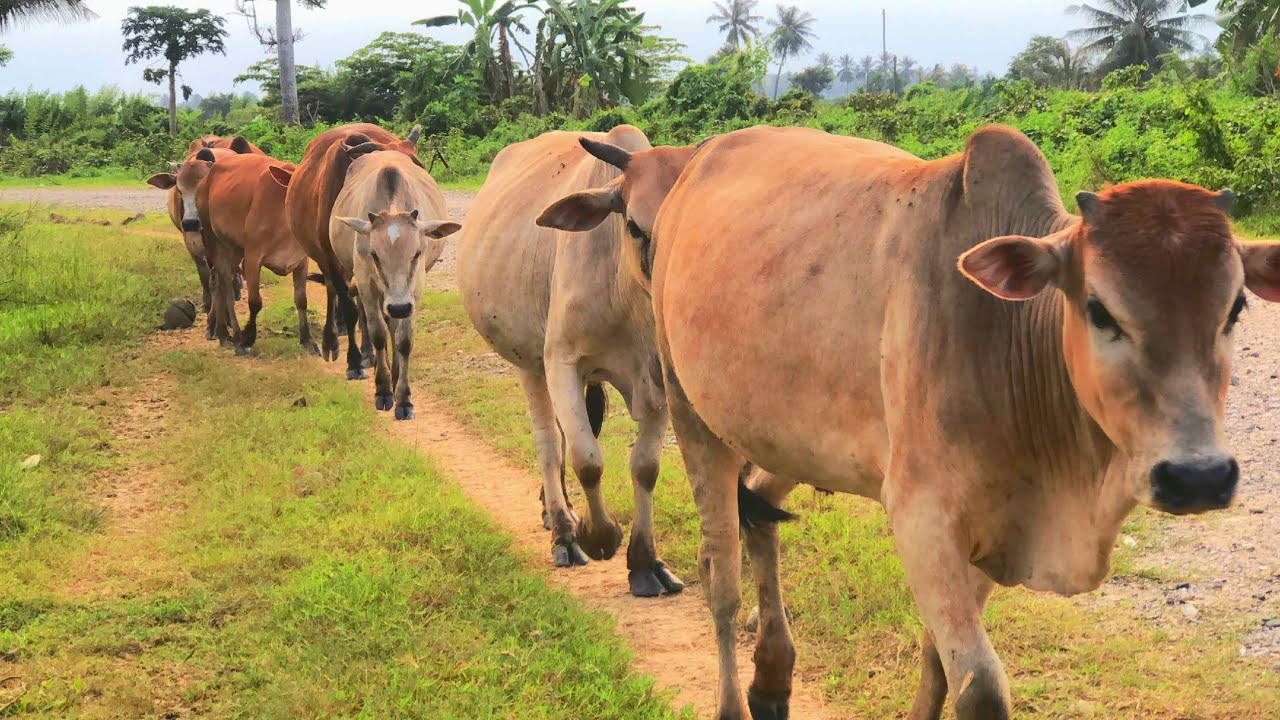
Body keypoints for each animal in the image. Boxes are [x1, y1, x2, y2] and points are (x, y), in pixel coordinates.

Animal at [193, 151, 319, 356]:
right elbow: (255, 302)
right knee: (225, 286)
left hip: (234, 248)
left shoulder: (301, 260)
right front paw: (247, 338)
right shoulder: (252, 258)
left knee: (220, 283)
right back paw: (233, 334)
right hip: (215, 242)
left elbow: (301, 300)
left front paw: (308, 340)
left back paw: (224, 334)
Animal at [285, 123, 422, 380]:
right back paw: (332, 342)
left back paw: (369, 352)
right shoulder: (332, 259)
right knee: (333, 291)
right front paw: (354, 361)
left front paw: (381, 362)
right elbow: (349, 308)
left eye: (417, 167)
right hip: (325, 259)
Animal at [330, 152, 460, 419]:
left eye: (417, 253)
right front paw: (383, 391)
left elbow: (404, 339)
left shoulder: (415, 289)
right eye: (375, 255)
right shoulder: (365, 281)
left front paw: (404, 399)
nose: (399, 307)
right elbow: (378, 332)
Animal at [460, 126, 690, 597]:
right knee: (549, 442)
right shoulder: (562, 363)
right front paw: (598, 536)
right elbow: (588, 459)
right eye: (634, 226)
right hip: (529, 363)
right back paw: (563, 527)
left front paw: (645, 562)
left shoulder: (657, 379)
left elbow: (645, 468)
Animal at [537, 124, 1280, 720]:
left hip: (787, 439)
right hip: (697, 419)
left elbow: (937, 666)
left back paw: (772, 680)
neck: (1005, 332)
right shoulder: (923, 516)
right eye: (1100, 310)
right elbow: (979, 688)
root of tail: (695, 167)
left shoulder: (986, 529)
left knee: (761, 518)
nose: (1199, 477)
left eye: (1236, 307)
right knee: (720, 579)